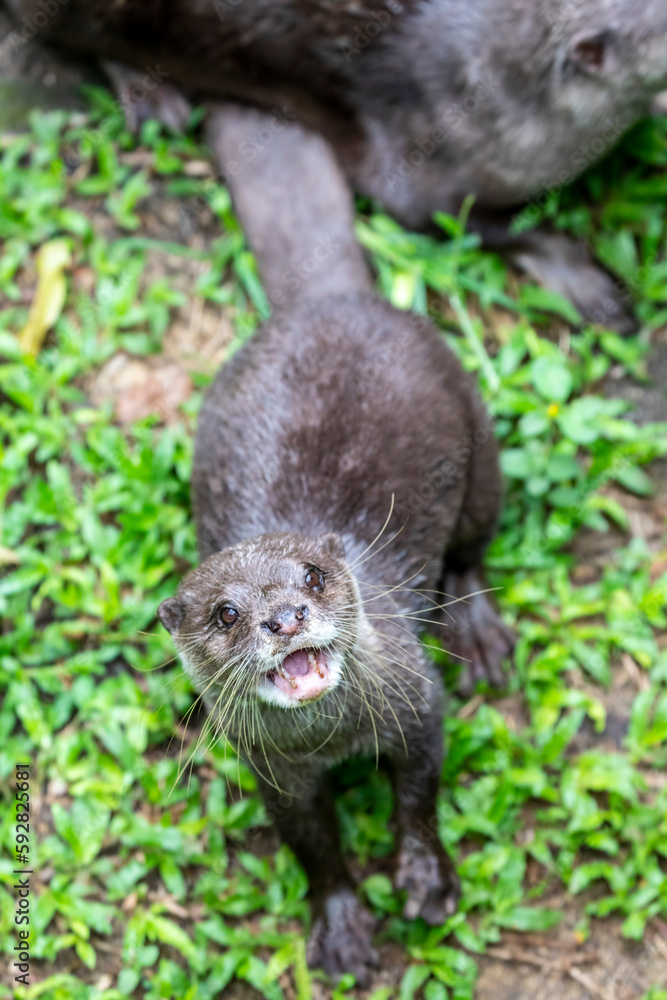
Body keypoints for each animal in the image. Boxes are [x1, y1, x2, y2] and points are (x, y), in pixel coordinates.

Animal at [156, 104, 513, 981]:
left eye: (313, 576)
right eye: (224, 614)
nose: (282, 617)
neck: (336, 739)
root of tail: (335, 294)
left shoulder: (417, 701)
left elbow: (419, 794)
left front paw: (425, 879)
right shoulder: (273, 773)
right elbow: (312, 849)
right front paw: (343, 928)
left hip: (479, 440)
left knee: (471, 546)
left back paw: (480, 635)